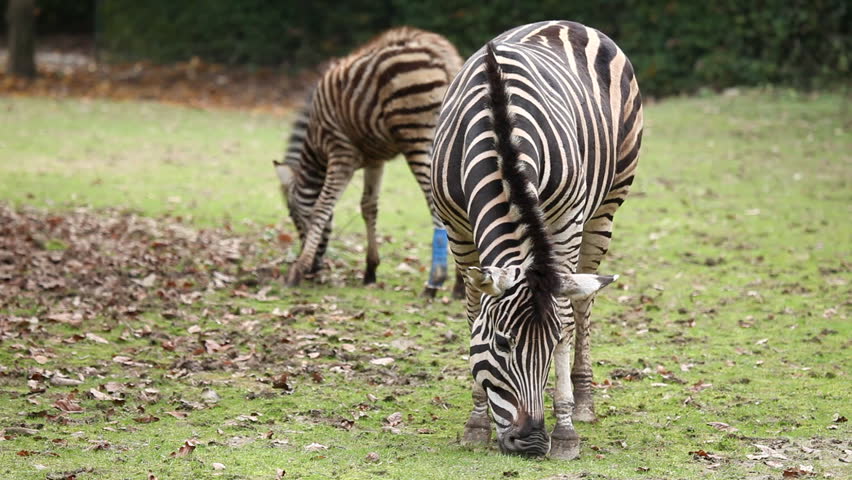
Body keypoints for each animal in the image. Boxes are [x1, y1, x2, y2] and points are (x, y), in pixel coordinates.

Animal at [274, 27, 465, 297]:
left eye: (293, 215)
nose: (315, 269)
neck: (315, 141)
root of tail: (438, 53)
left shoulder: (340, 152)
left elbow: (323, 207)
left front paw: (298, 269)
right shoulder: (375, 160)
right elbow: (368, 207)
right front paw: (370, 270)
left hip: (417, 138)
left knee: (438, 204)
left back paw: (434, 281)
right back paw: (460, 283)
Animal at [430, 21, 643, 458]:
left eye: (550, 344)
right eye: (502, 343)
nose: (529, 442)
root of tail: (567, 23)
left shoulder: (565, 224)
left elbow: (565, 316)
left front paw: (564, 431)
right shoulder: (458, 232)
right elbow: (472, 311)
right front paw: (476, 422)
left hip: (604, 210)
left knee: (583, 303)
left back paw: (583, 401)